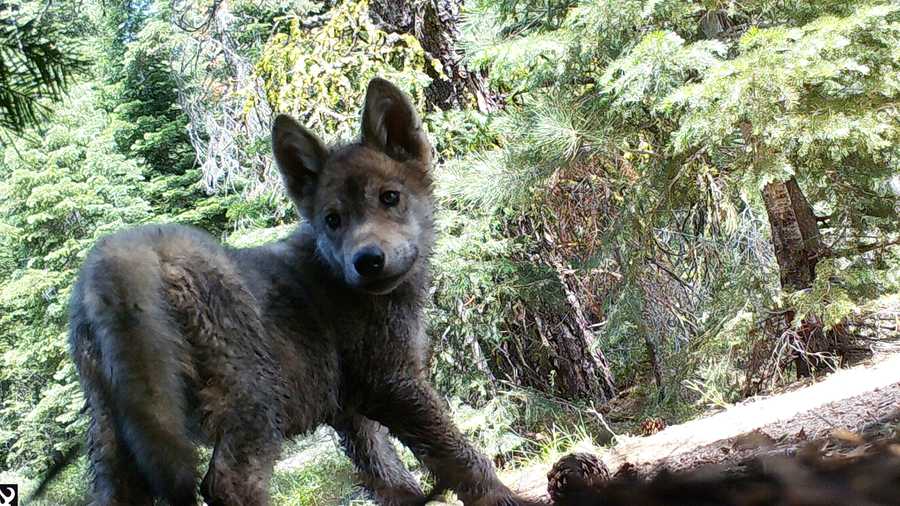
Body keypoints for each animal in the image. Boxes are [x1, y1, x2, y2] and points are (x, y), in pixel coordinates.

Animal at [67, 78, 534, 506]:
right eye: (332, 220)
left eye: (390, 198)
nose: (367, 261)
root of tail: (116, 259)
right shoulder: (395, 386)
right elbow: (464, 459)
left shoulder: (352, 415)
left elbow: (392, 478)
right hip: (255, 406)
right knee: (225, 485)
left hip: (117, 442)